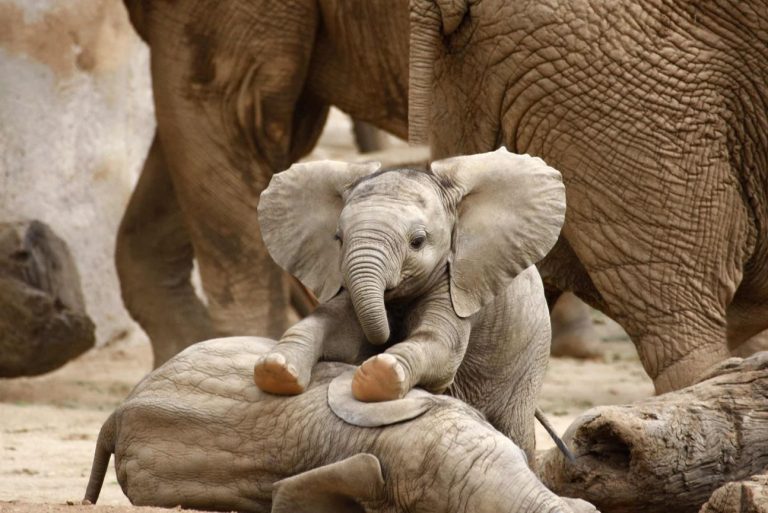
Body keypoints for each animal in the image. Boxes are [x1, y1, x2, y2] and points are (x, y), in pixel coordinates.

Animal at [252, 149, 564, 456]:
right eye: (338, 239)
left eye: (418, 241)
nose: (386, 338)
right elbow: (334, 326)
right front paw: (275, 369)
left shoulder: (457, 282)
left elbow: (440, 346)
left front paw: (378, 374)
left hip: (529, 359)